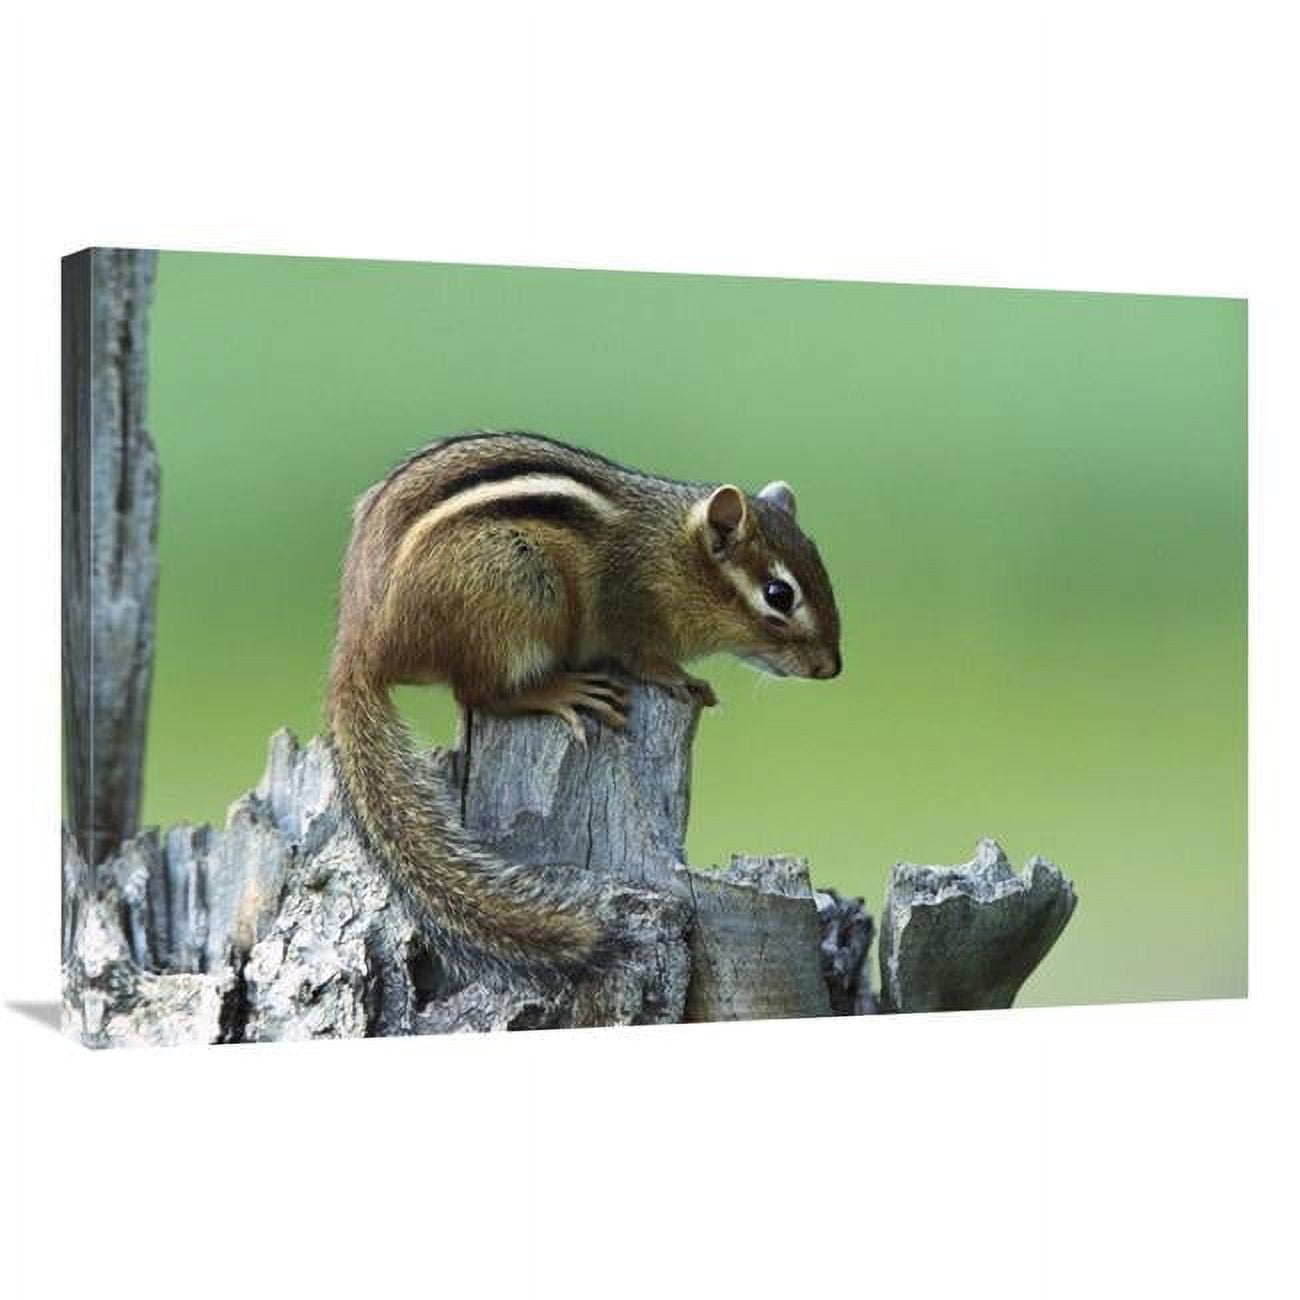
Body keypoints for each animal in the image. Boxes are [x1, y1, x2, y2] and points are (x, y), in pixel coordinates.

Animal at [326, 430, 842, 986]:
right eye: (779, 594)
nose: (832, 667)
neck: (672, 554)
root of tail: (361, 642)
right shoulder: (630, 618)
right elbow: (646, 660)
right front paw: (684, 680)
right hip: (516, 591)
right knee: (479, 693)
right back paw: (560, 692)